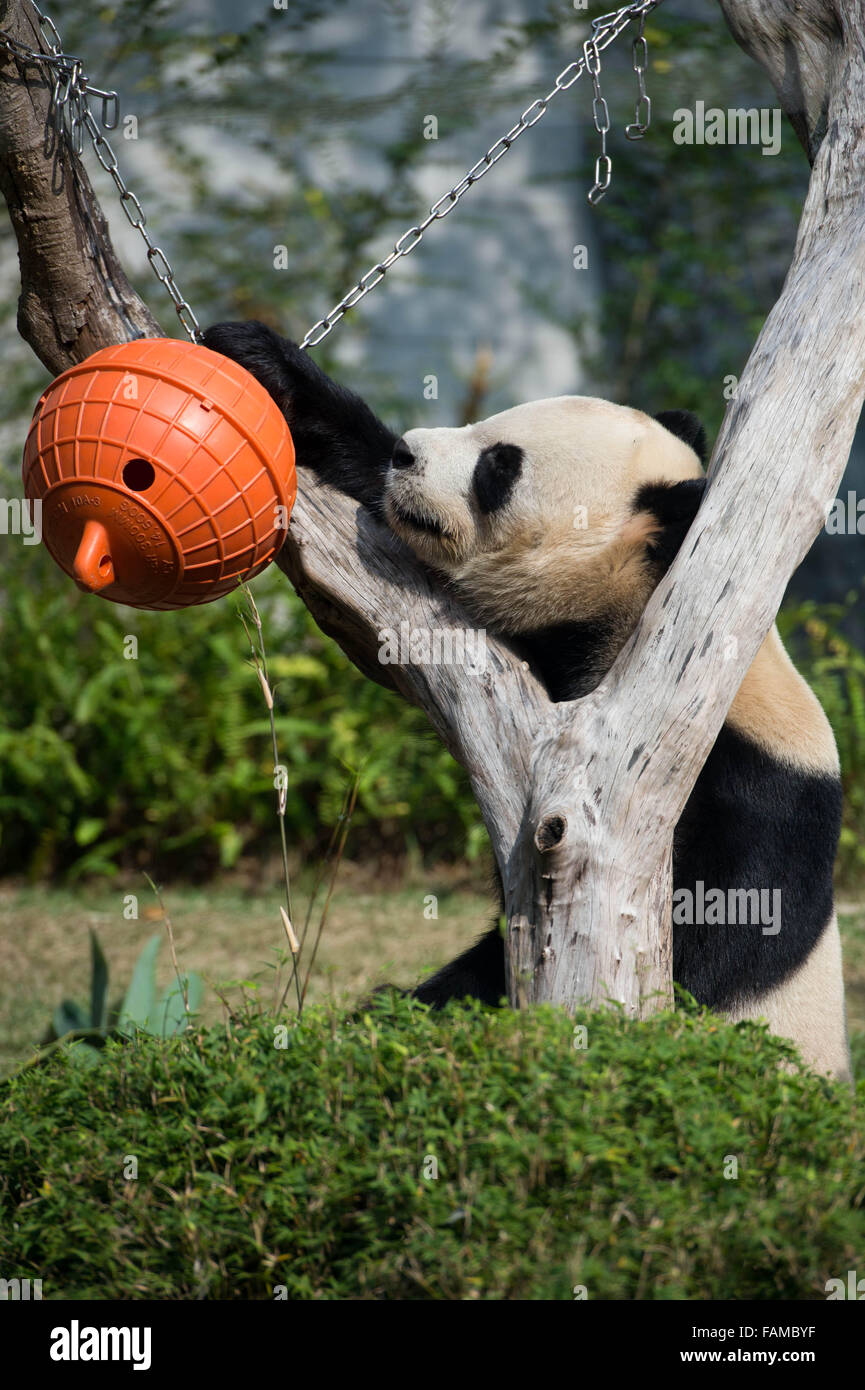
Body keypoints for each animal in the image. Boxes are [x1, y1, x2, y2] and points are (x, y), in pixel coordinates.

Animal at [203, 320, 851, 1082]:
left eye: (499, 468)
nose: (406, 453)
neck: (638, 621)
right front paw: (265, 363)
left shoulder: (744, 790)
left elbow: (714, 931)